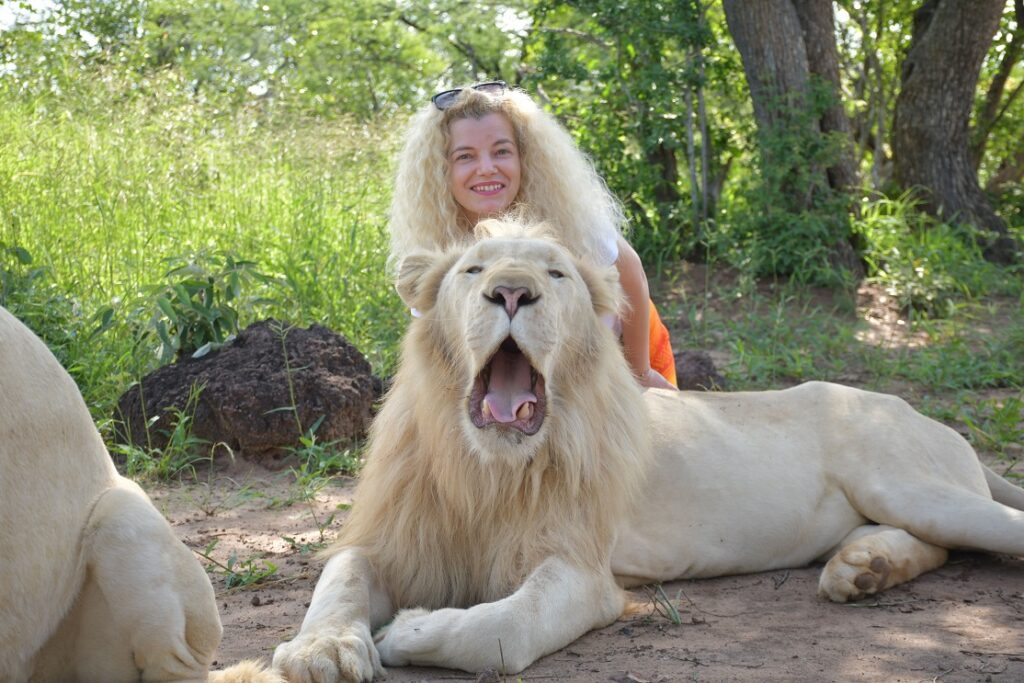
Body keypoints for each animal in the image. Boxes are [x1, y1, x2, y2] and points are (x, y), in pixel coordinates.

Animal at [272, 220, 1024, 682]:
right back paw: (864, 569)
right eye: (473, 268)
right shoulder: (397, 536)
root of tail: (923, 415)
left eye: (555, 273)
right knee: (935, 546)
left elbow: (504, 629)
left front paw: (407, 630)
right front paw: (322, 648)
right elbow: (338, 579)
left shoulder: (582, 571)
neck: (485, 466)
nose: (512, 291)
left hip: (909, 483)